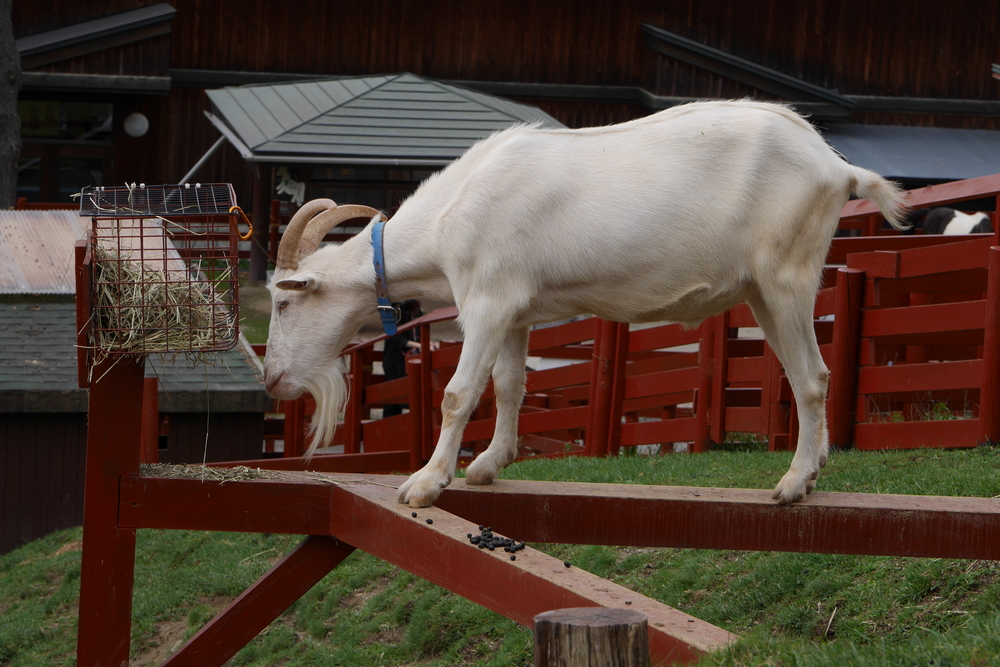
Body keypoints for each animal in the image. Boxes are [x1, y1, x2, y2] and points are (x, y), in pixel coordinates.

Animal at [263, 100, 907, 508]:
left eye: (283, 304)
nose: (271, 379)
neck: (452, 213)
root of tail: (836, 166)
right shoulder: (514, 310)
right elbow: (510, 386)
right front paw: (489, 465)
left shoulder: (486, 302)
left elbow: (457, 394)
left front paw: (426, 482)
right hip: (762, 293)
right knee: (805, 374)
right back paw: (814, 470)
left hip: (786, 277)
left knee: (813, 378)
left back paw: (793, 484)